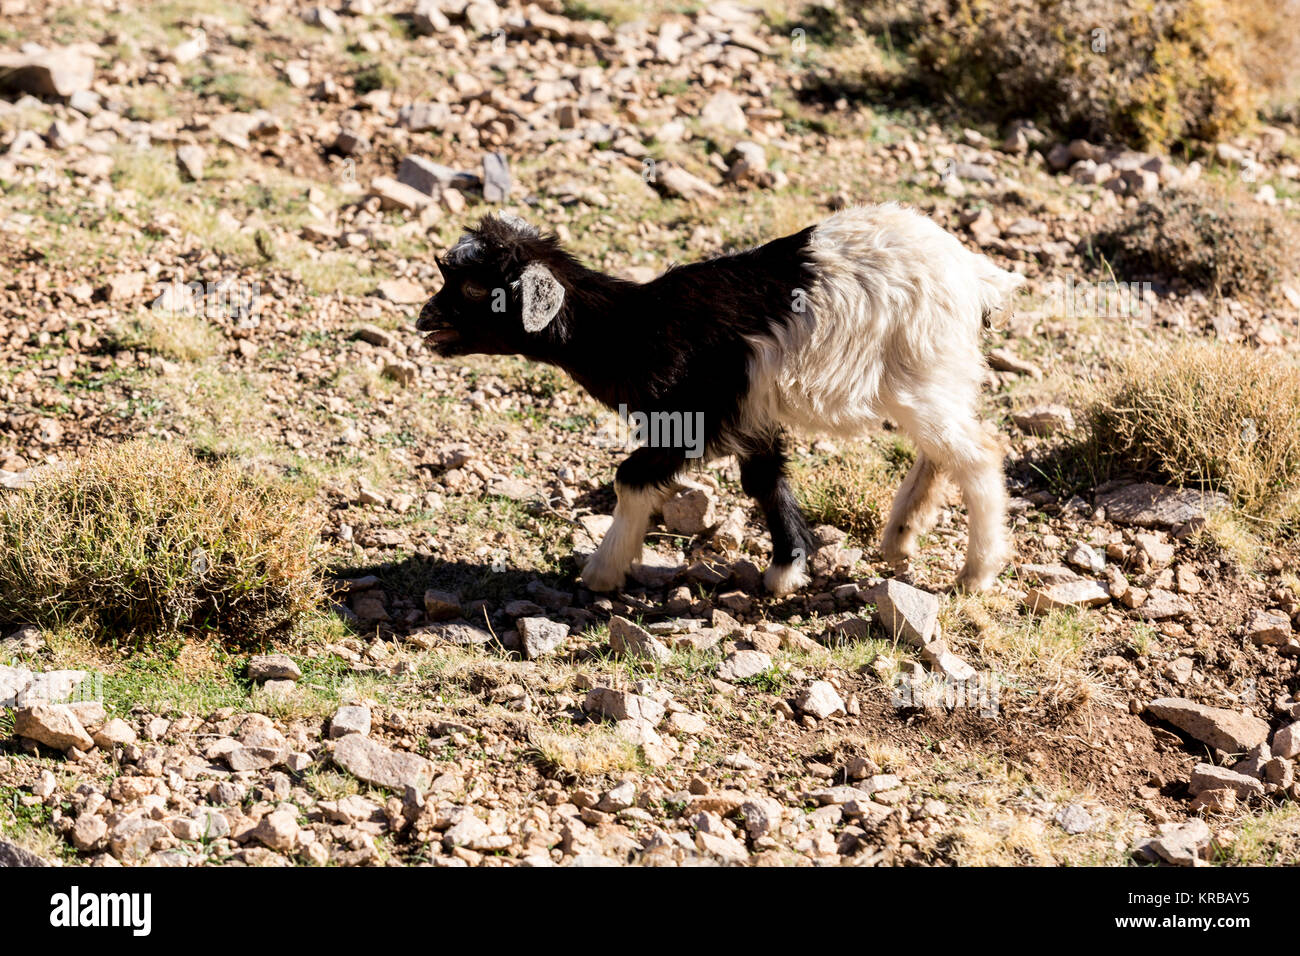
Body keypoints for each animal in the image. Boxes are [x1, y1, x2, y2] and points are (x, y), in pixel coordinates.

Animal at [416, 205, 1023, 595]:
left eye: (475, 288)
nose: (423, 321)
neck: (634, 327)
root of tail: (974, 276)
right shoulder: (749, 416)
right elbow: (765, 480)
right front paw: (787, 569)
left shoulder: (695, 416)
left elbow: (631, 478)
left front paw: (602, 572)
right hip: (932, 377)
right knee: (943, 451)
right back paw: (900, 538)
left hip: (919, 375)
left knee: (978, 455)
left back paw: (976, 573)